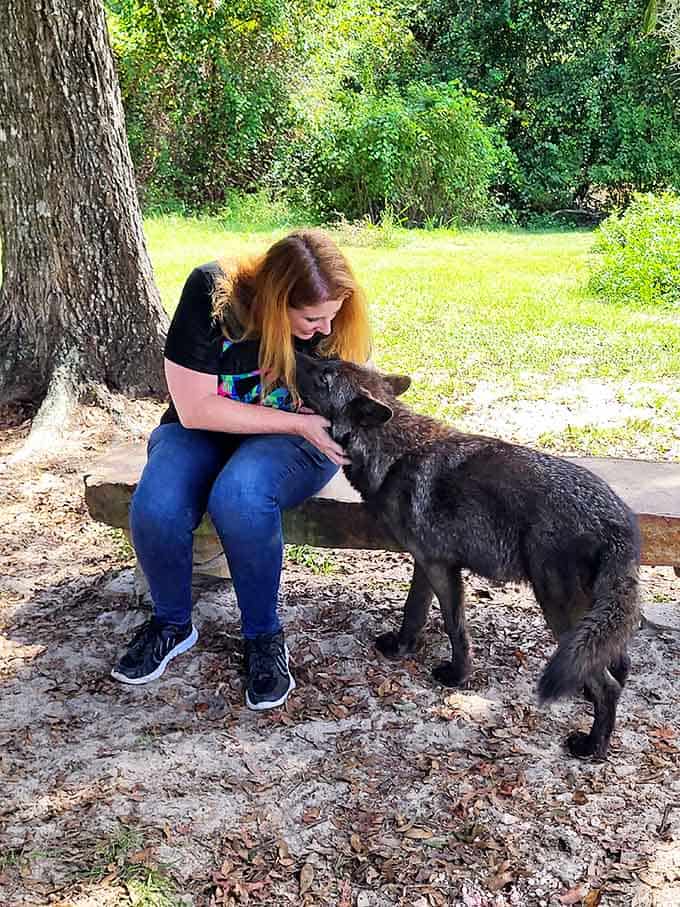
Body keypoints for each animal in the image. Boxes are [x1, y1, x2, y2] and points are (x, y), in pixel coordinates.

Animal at [296, 356, 641, 760]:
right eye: (328, 362)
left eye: (325, 377)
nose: (298, 353)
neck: (395, 454)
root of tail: (619, 521)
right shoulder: (425, 563)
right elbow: (413, 612)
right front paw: (401, 648)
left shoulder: (440, 568)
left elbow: (453, 626)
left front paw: (457, 676)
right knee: (615, 660)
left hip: (557, 609)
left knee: (609, 684)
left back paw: (592, 745)